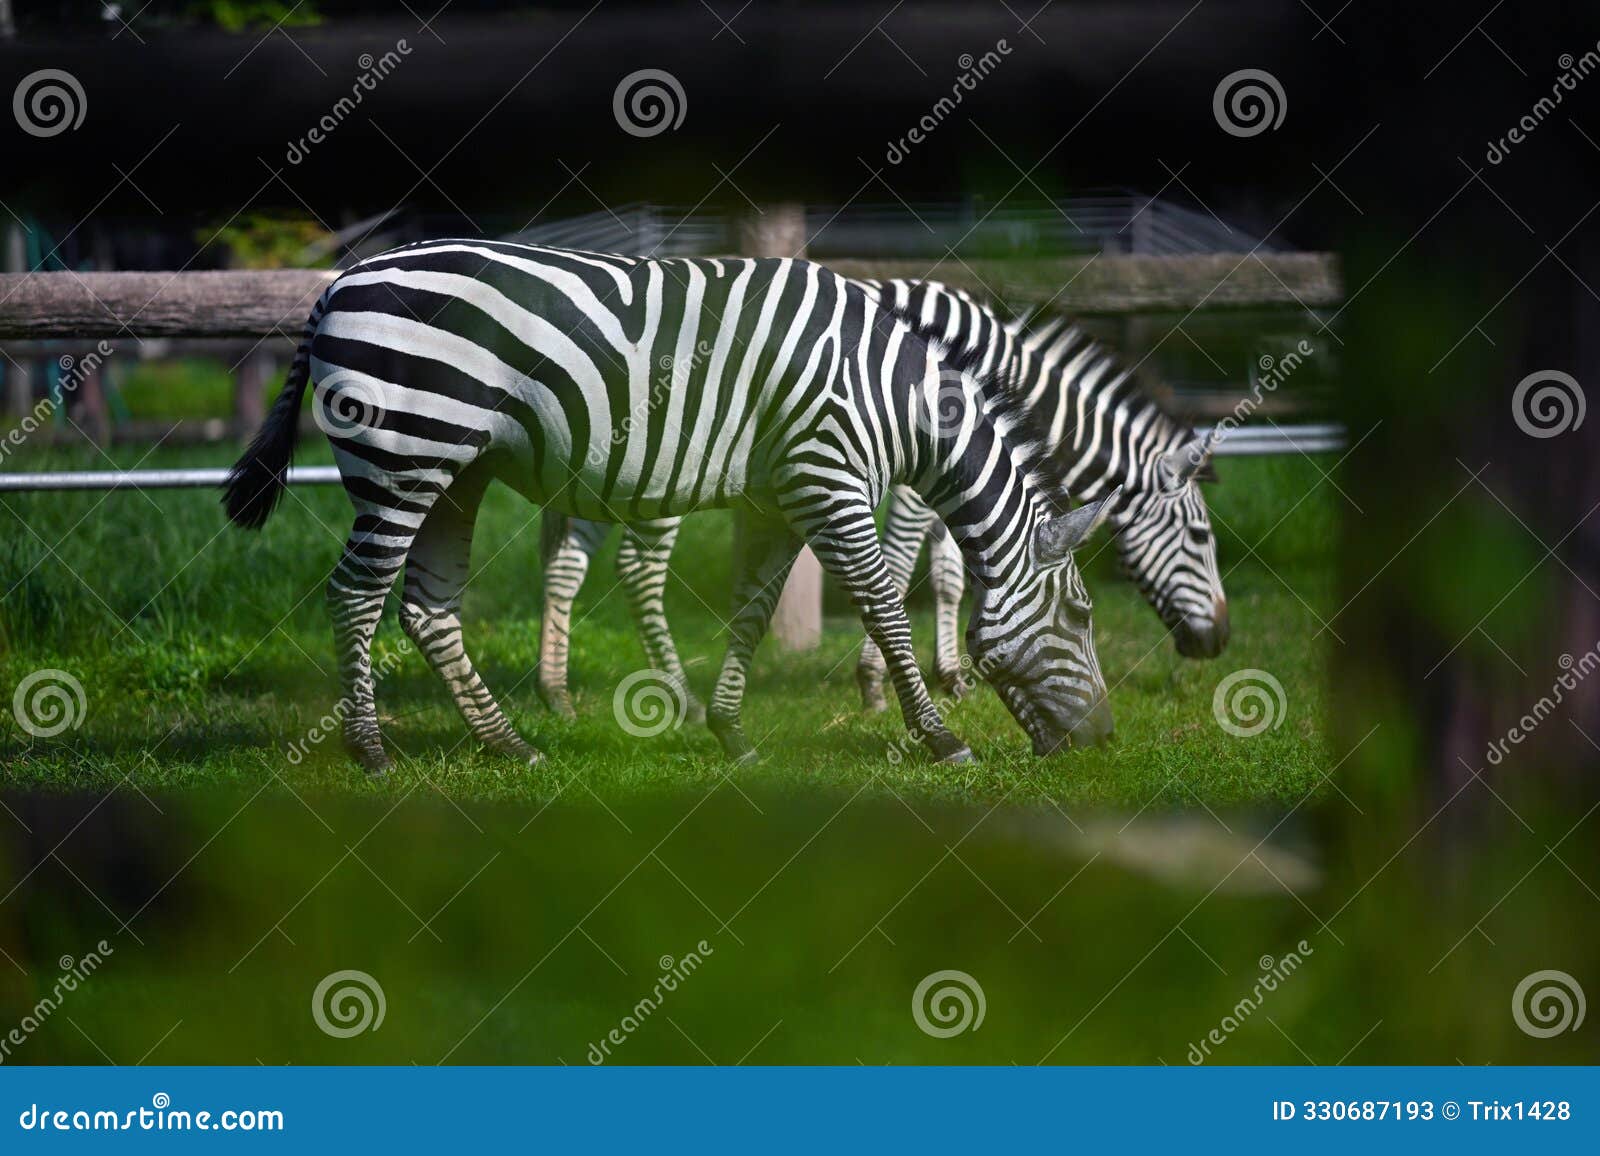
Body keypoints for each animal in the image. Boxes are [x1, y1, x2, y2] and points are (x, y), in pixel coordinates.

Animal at [223, 241, 1117, 773]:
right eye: (1080, 615)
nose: (1108, 740)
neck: (892, 396)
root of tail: (341, 281)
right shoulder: (825, 477)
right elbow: (885, 606)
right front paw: (939, 737)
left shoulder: (777, 496)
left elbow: (752, 611)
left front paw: (729, 731)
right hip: (405, 454)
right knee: (357, 593)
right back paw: (370, 750)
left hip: (455, 471)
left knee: (427, 608)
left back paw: (509, 744)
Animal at [537, 277, 1226, 720]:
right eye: (1201, 538)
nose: (1219, 643)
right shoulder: (920, 465)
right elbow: (898, 564)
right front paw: (875, 688)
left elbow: (950, 572)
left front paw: (951, 676)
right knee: (639, 566)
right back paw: (676, 698)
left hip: (603, 466)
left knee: (566, 561)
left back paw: (557, 695)